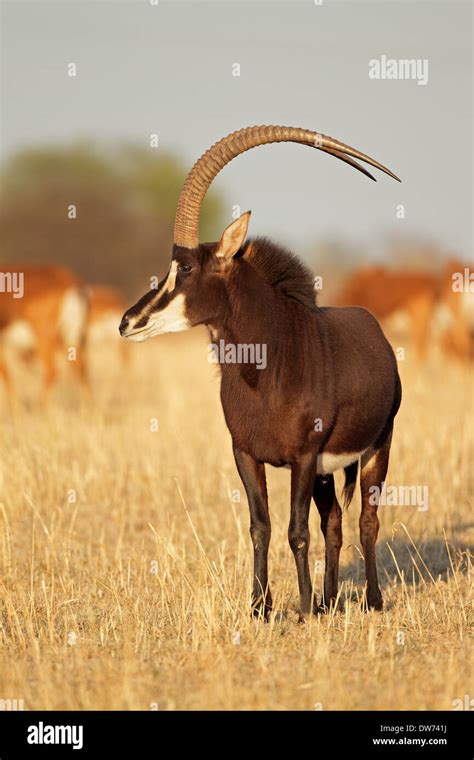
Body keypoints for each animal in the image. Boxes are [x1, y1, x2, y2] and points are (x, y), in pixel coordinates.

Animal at [120, 125, 402, 621]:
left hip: (376, 448)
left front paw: (302, 608)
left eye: (186, 267)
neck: (267, 365)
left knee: (367, 520)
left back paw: (370, 600)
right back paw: (331, 600)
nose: (128, 322)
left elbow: (296, 531)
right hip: (328, 470)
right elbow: (261, 526)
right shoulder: (246, 454)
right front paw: (260, 607)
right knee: (334, 521)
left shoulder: (303, 456)